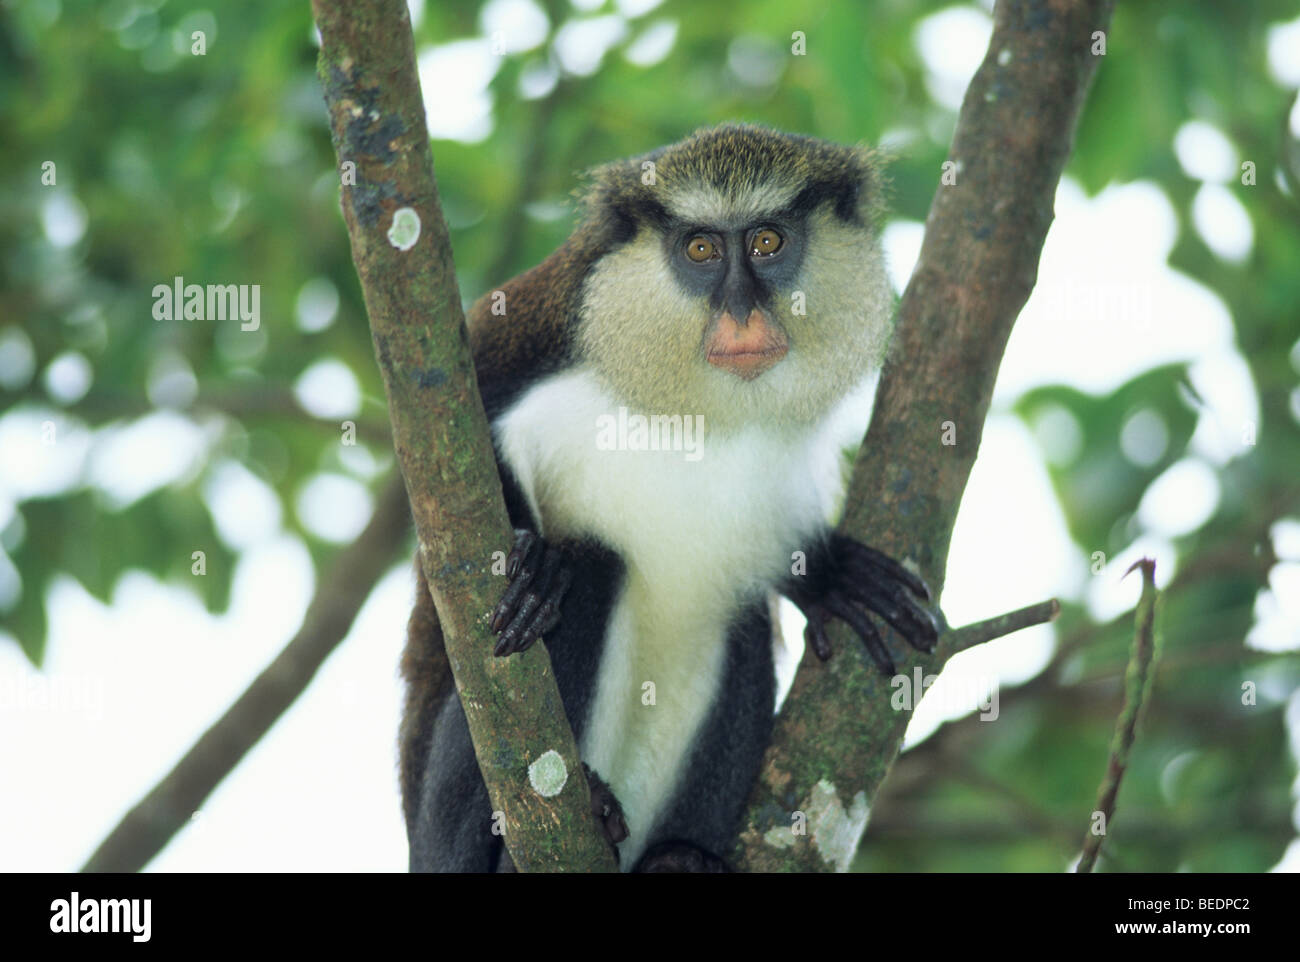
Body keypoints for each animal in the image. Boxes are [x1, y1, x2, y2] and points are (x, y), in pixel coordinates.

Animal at [399, 123, 941, 872]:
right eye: (701, 249)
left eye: (767, 241)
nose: (741, 311)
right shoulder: (538, 330)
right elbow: (440, 468)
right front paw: (532, 567)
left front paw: (831, 574)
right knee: (591, 571)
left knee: (742, 619)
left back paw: (679, 857)